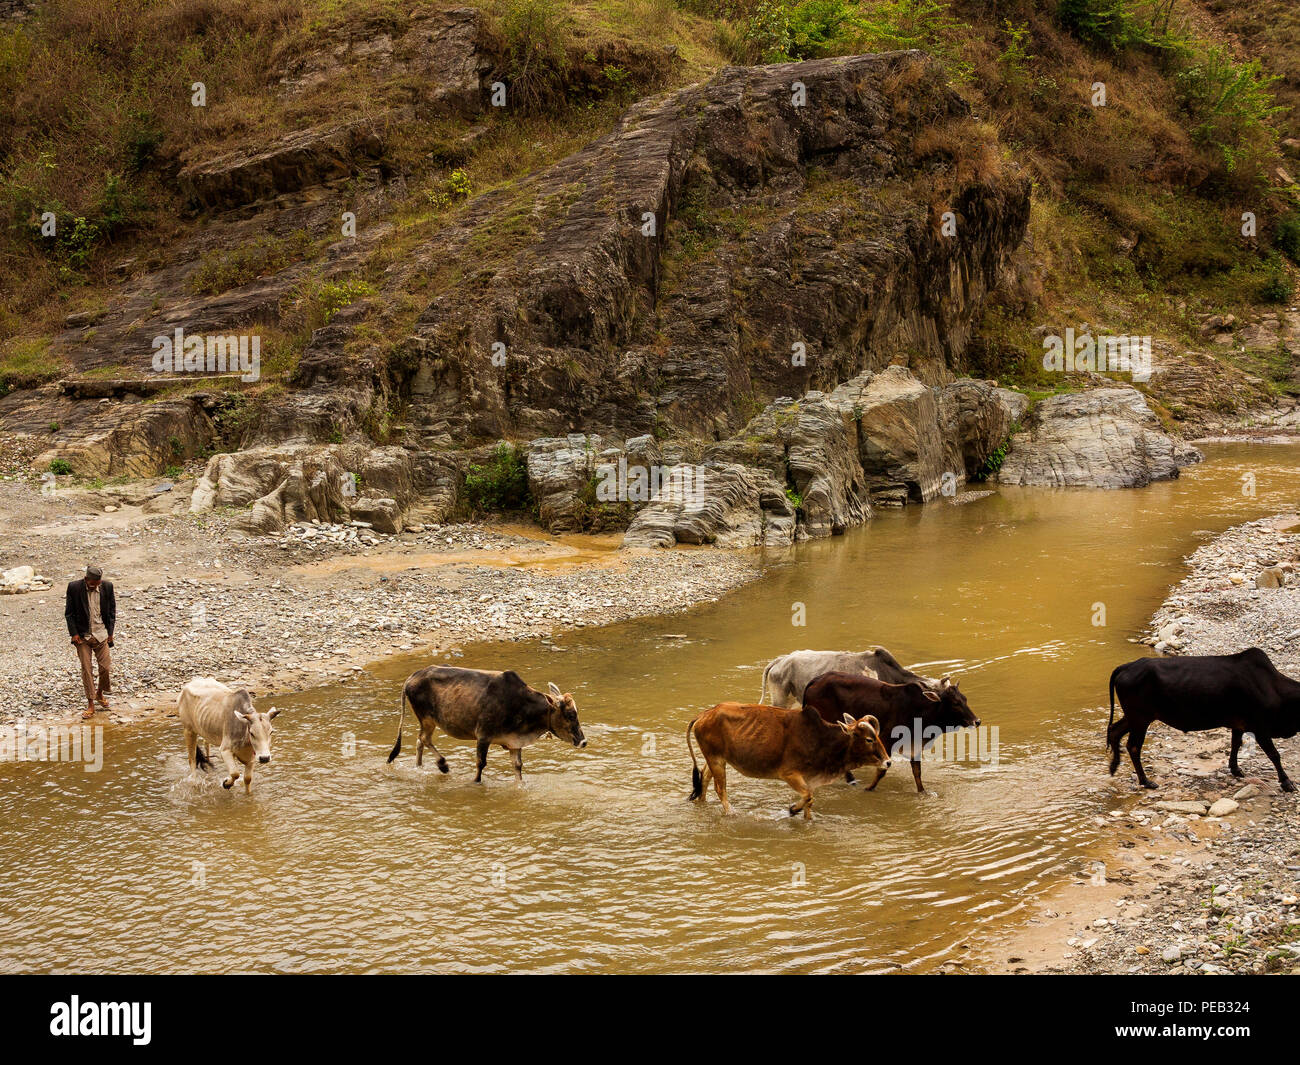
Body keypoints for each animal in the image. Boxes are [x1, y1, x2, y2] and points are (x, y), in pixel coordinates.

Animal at [387, 666, 585, 781]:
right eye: (570, 715)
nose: (583, 742)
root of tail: (413, 676)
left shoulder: (514, 742)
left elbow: (518, 766)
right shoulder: (483, 736)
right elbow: (480, 764)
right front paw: (476, 782)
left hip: (428, 721)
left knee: (420, 740)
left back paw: (419, 767)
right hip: (427, 718)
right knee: (424, 739)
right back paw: (443, 765)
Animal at [686, 701, 890, 820]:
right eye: (869, 739)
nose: (888, 762)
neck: (821, 739)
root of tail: (704, 715)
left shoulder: (808, 778)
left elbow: (810, 801)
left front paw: (806, 819)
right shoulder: (789, 774)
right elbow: (808, 796)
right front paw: (792, 810)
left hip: (716, 759)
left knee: (704, 779)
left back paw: (702, 804)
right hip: (716, 759)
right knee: (720, 789)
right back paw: (731, 814)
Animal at [801, 671, 979, 792]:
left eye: (965, 699)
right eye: (955, 703)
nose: (977, 721)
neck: (921, 711)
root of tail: (816, 680)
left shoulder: (914, 747)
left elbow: (917, 773)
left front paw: (923, 792)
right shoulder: (886, 742)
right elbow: (882, 770)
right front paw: (869, 789)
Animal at [1107, 649, 1300, 792]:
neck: (1274, 688)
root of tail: (1126, 666)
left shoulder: (1238, 725)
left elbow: (1235, 744)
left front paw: (1235, 769)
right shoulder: (1260, 729)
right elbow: (1274, 755)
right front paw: (1286, 783)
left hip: (1135, 717)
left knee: (1115, 731)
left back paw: (1114, 766)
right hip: (1140, 718)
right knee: (1133, 746)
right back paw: (1145, 781)